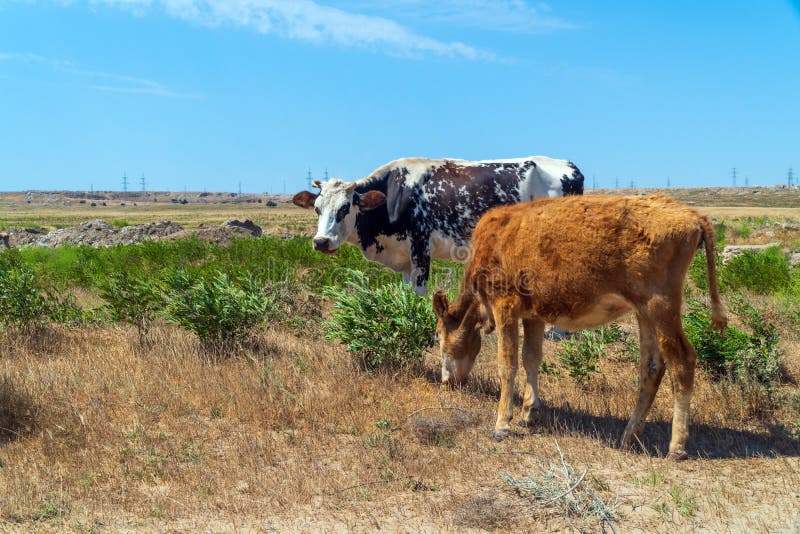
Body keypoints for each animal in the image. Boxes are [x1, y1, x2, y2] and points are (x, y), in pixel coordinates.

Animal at [293, 156, 584, 294]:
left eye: (344, 208)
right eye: (317, 209)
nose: (321, 242)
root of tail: (569, 166)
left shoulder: (421, 249)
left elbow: (419, 294)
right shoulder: (405, 258)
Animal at [431, 194, 727, 460]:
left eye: (437, 335)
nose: (446, 381)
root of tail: (692, 215)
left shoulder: (505, 305)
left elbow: (508, 364)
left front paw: (503, 423)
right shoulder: (533, 314)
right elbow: (531, 358)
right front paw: (529, 412)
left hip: (661, 306)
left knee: (681, 361)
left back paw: (676, 446)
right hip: (645, 312)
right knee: (652, 366)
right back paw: (629, 435)